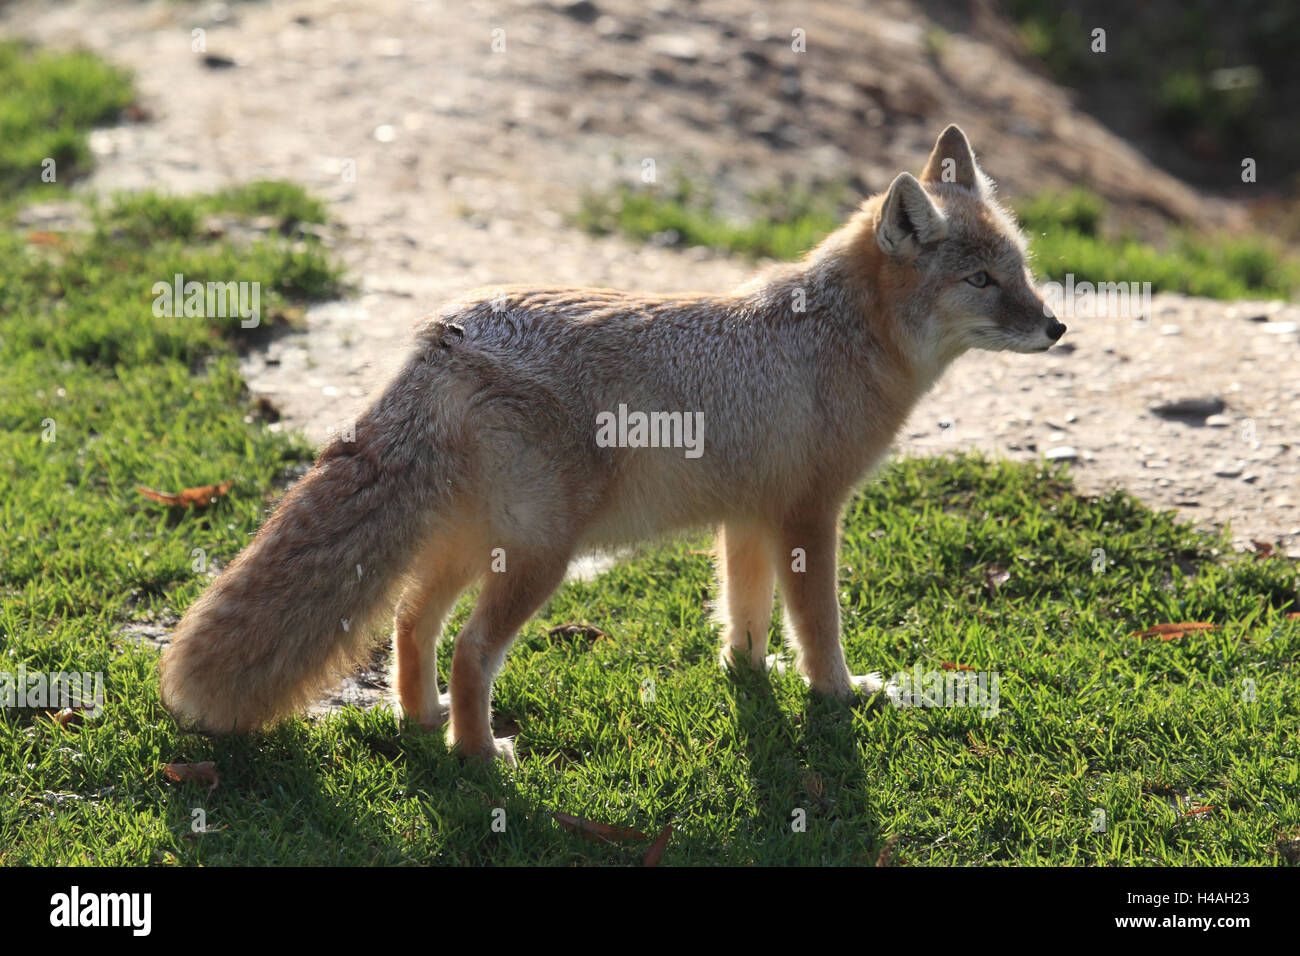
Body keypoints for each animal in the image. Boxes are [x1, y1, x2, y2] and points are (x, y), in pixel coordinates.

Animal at [159, 125, 1066, 764]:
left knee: (413, 624)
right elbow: (819, 630)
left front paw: (750, 677)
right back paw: (480, 757)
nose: (1057, 326)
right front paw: (840, 694)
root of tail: (447, 332)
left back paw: (425, 724)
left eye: (1021, 270)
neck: (839, 339)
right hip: (538, 558)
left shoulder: (749, 518)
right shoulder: (809, 517)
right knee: (470, 651)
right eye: (982, 281)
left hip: (474, 544)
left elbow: (744, 619)